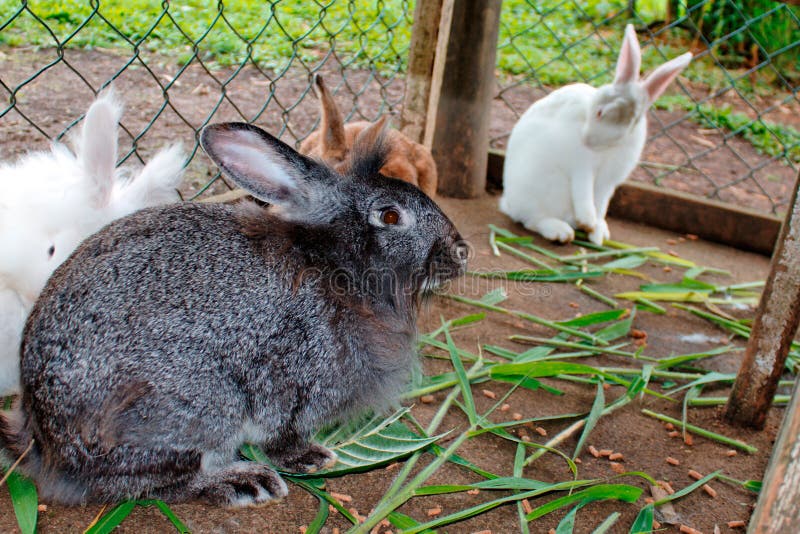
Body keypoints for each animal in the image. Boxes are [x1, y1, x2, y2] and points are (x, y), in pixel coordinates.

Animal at [0, 120, 467, 507]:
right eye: (390, 215)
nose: (462, 251)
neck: (336, 261)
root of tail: (45, 444)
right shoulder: (292, 382)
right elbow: (282, 436)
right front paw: (312, 458)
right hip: (198, 408)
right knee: (152, 484)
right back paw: (244, 482)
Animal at [499, 24, 692, 245]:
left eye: (632, 122)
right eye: (600, 112)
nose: (589, 141)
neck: (603, 149)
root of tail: (508, 203)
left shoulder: (608, 180)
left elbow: (600, 203)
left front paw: (597, 233)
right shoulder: (580, 167)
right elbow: (583, 192)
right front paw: (588, 222)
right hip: (536, 191)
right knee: (532, 220)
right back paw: (560, 231)